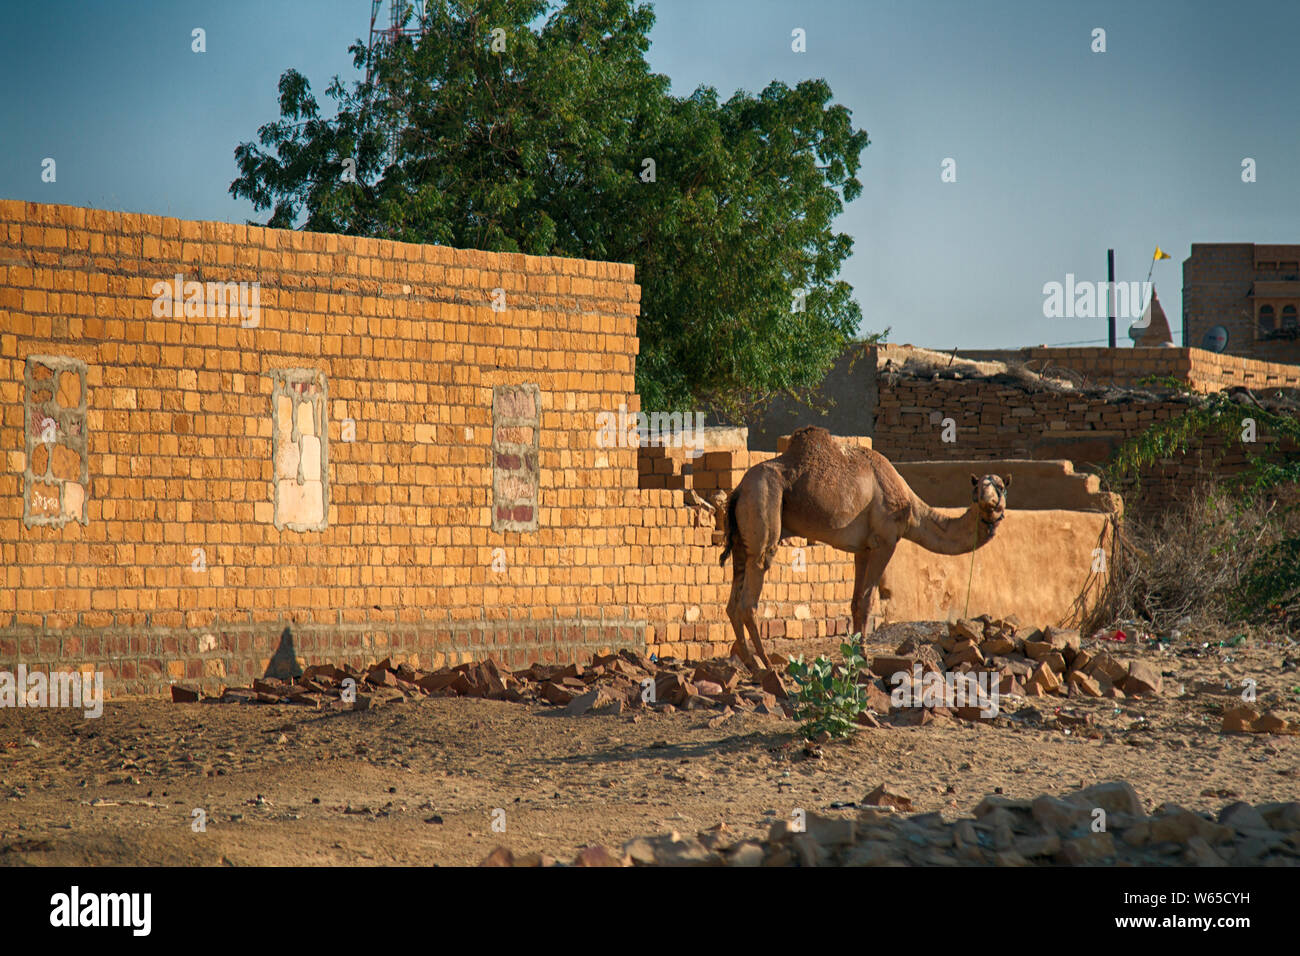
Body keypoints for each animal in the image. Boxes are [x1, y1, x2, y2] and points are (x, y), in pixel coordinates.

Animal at [719, 426, 1010, 673]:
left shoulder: (863, 548)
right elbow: (869, 600)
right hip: (763, 507)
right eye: (977, 487)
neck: (912, 510)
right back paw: (766, 665)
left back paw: (750, 662)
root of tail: (738, 489)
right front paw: (865, 658)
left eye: (1000, 487)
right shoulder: (886, 540)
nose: (988, 502)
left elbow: (857, 601)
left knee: (733, 603)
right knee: (749, 599)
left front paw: (855, 656)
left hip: (741, 540)